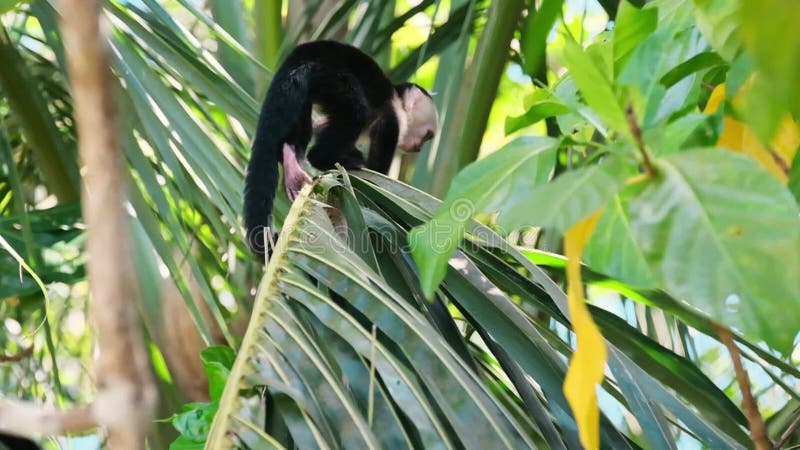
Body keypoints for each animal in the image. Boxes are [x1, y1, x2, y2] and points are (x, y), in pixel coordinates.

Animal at [243, 40, 438, 255]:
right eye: (427, 135)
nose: (419, 148)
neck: (398, 102)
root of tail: (300, 55)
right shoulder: (394, 118)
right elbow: (379, 148)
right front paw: (373, 173)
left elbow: (321, 127)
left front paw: (350, 154)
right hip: (327, 77)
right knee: (355, 112)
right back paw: (321, 158)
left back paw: (290, 159)